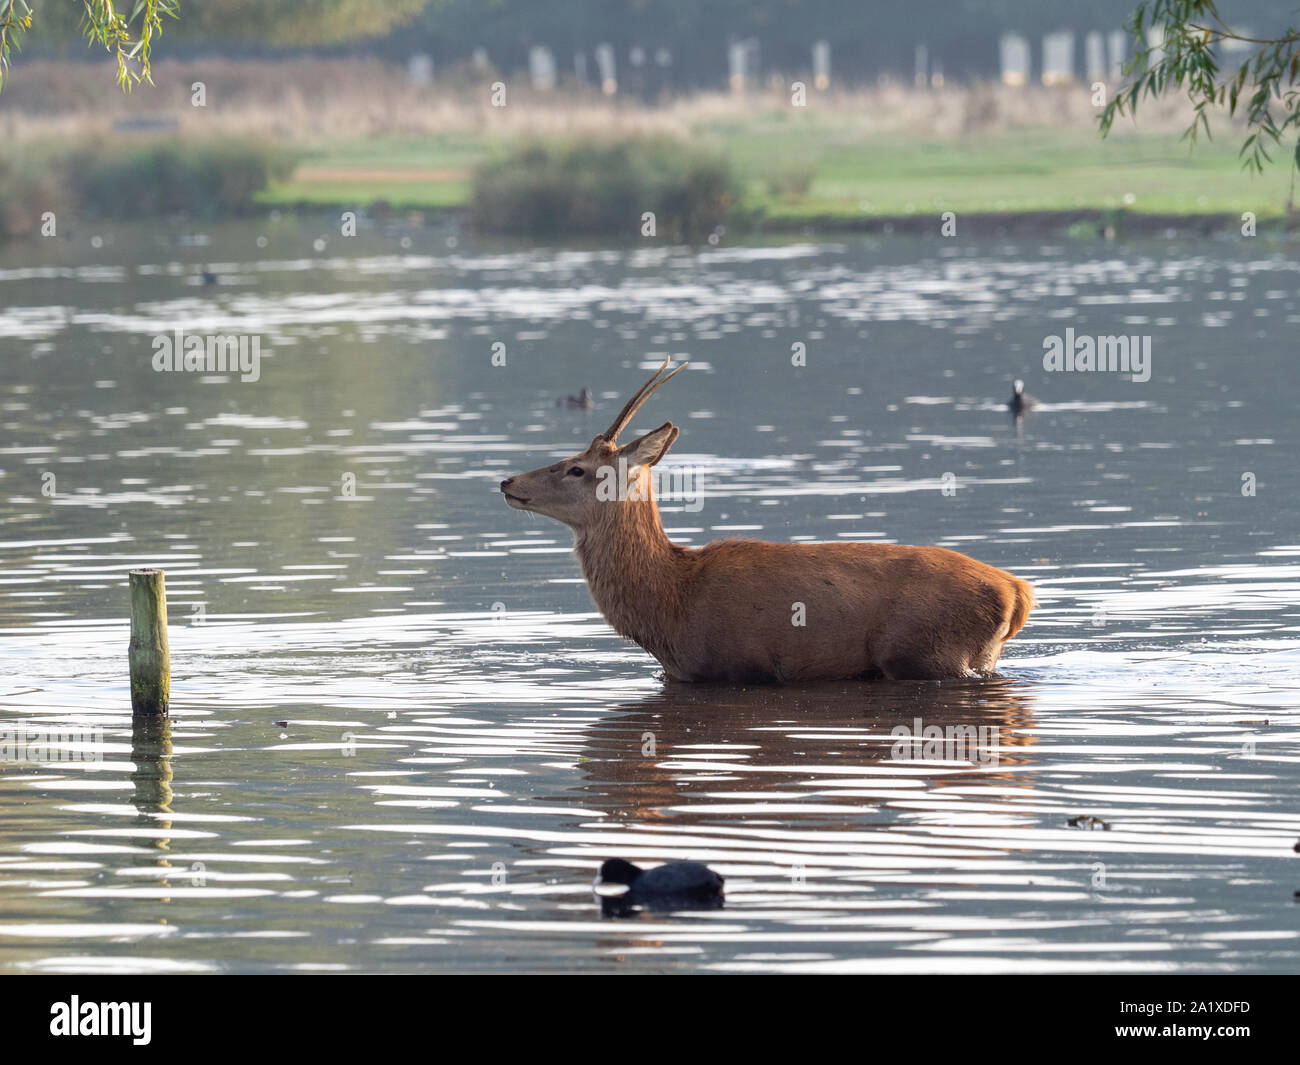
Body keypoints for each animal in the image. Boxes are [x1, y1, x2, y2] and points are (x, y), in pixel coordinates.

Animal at [500, 359, 1035, 683]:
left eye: (577, 468)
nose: (507, 481)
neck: (669, 606)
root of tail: (1018, 593)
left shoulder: (739, 666)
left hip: (929, 655)